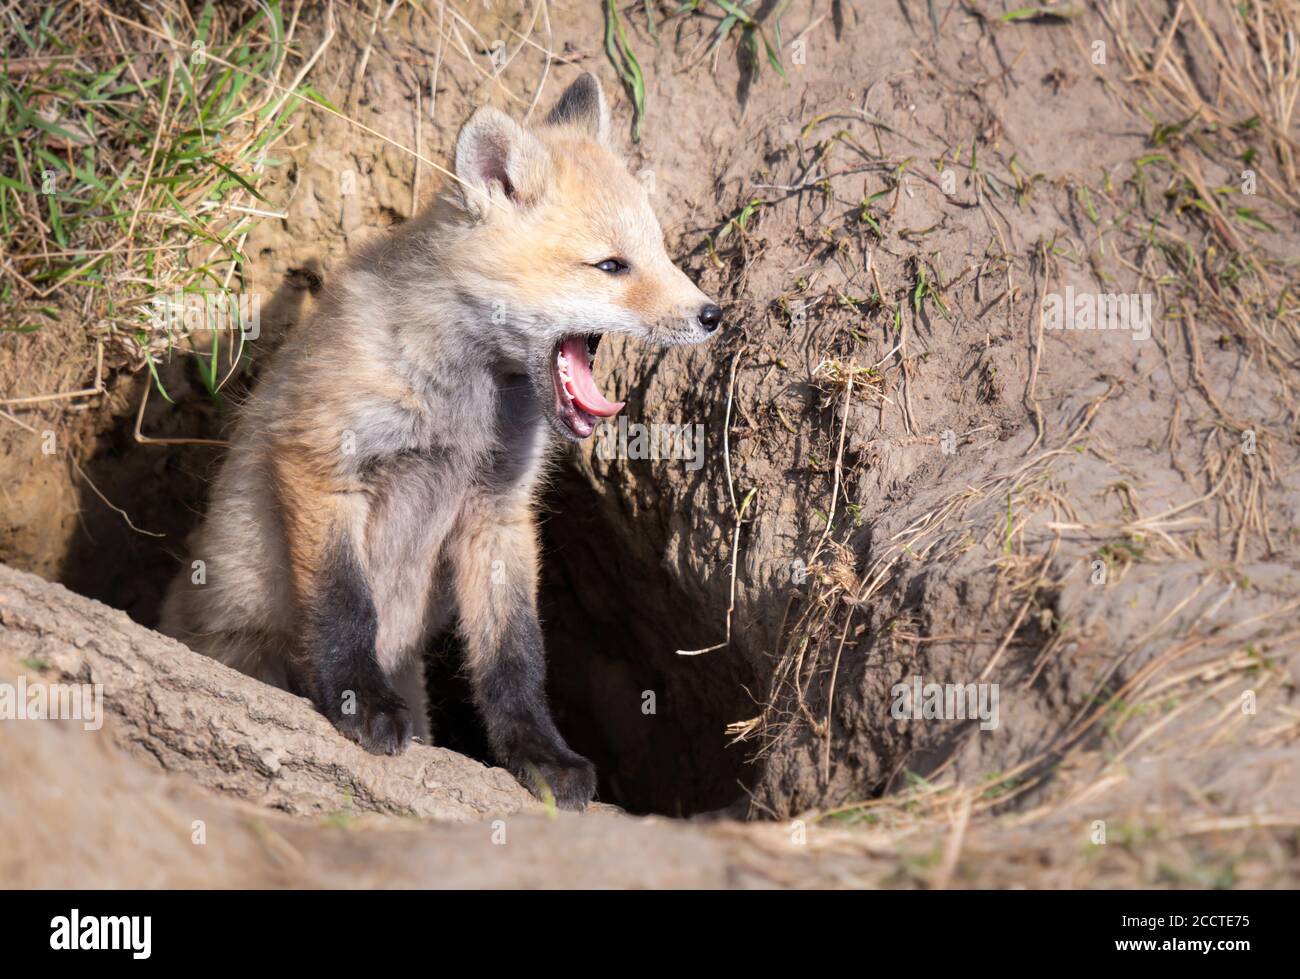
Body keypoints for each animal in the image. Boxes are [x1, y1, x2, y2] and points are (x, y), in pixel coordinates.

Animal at [159, 73, 722, 810]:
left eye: (659, 251)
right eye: (610, 265)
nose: (714, 314)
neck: (465, 411)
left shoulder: (497, 512)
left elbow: (515, 655)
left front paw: (539, 753)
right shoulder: (323, 461)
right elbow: (344, 604)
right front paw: (359, 702)